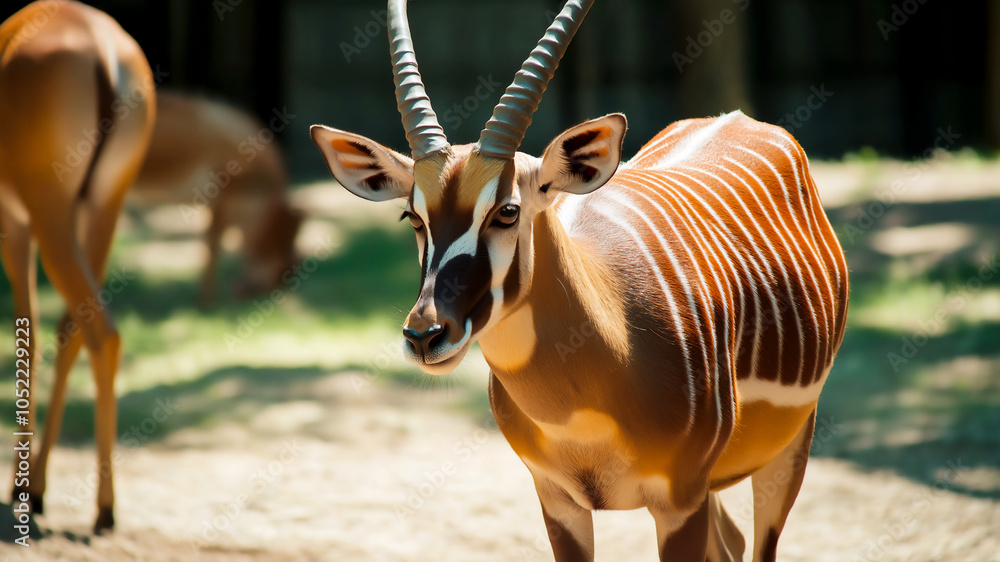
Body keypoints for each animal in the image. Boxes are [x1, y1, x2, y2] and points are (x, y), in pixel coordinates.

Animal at [0, 0, 155, 533]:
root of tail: (102, 48)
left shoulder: (13, 223)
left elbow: (25, 335)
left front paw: (21, 484)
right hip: (102, 211)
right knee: (85, 329)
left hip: (50, 219)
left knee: (92, 331)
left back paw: (86, 504)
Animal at [311, 0, 848, 559]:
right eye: (413, 217)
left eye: (508, 211)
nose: (425, 334)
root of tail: (739, 119)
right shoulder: (558, 501)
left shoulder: (679, 502)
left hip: (788, 449)